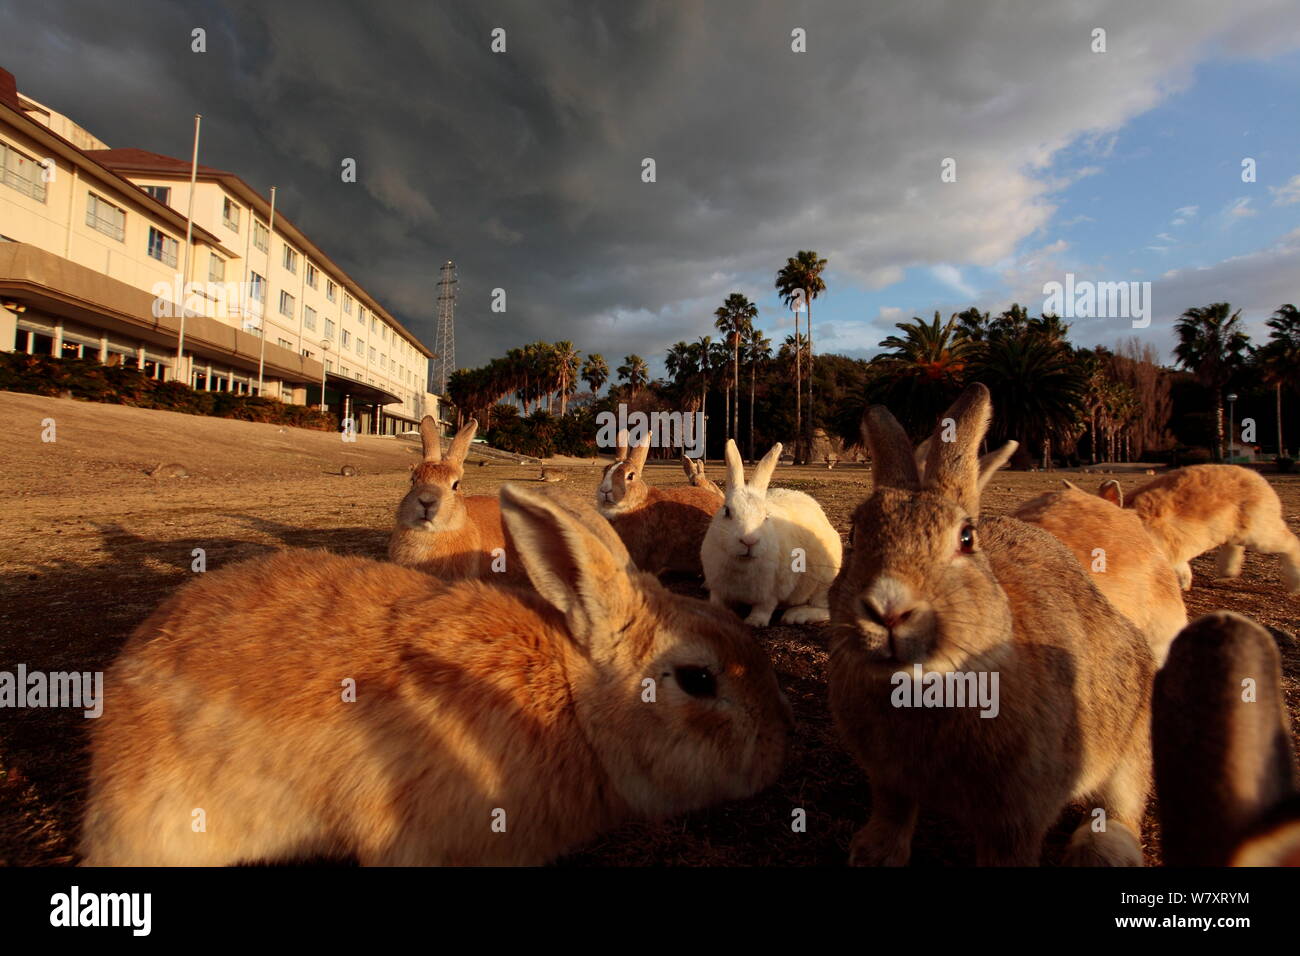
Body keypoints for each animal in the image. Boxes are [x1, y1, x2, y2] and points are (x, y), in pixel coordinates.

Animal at [701, 440, 842, 627]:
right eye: (727, 511)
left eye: (766, 516)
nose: (749, 540)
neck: (742, 563)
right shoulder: (718, 589)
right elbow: (717, 603)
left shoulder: (772, 592)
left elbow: (764, 608)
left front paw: (754, 622)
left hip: (824, 580)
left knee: (827, 608)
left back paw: (796, 615)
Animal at [828, 383, 1155, 867]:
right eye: (853, 535)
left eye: (967, 538)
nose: (888, 610)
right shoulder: (888, 779)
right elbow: (893, 811)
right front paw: (873, 855)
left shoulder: (1017, 814)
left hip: (1130, 738)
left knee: (1122, 802)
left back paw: (1102, 850)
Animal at [1099, 466, 1300, 594]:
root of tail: (1257, 478)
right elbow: (1182, 568)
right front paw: (1184, 584)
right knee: (1232, 547)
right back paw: (1226, 573)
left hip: (1258, 533)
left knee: (1290, 544)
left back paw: (1295, 586)